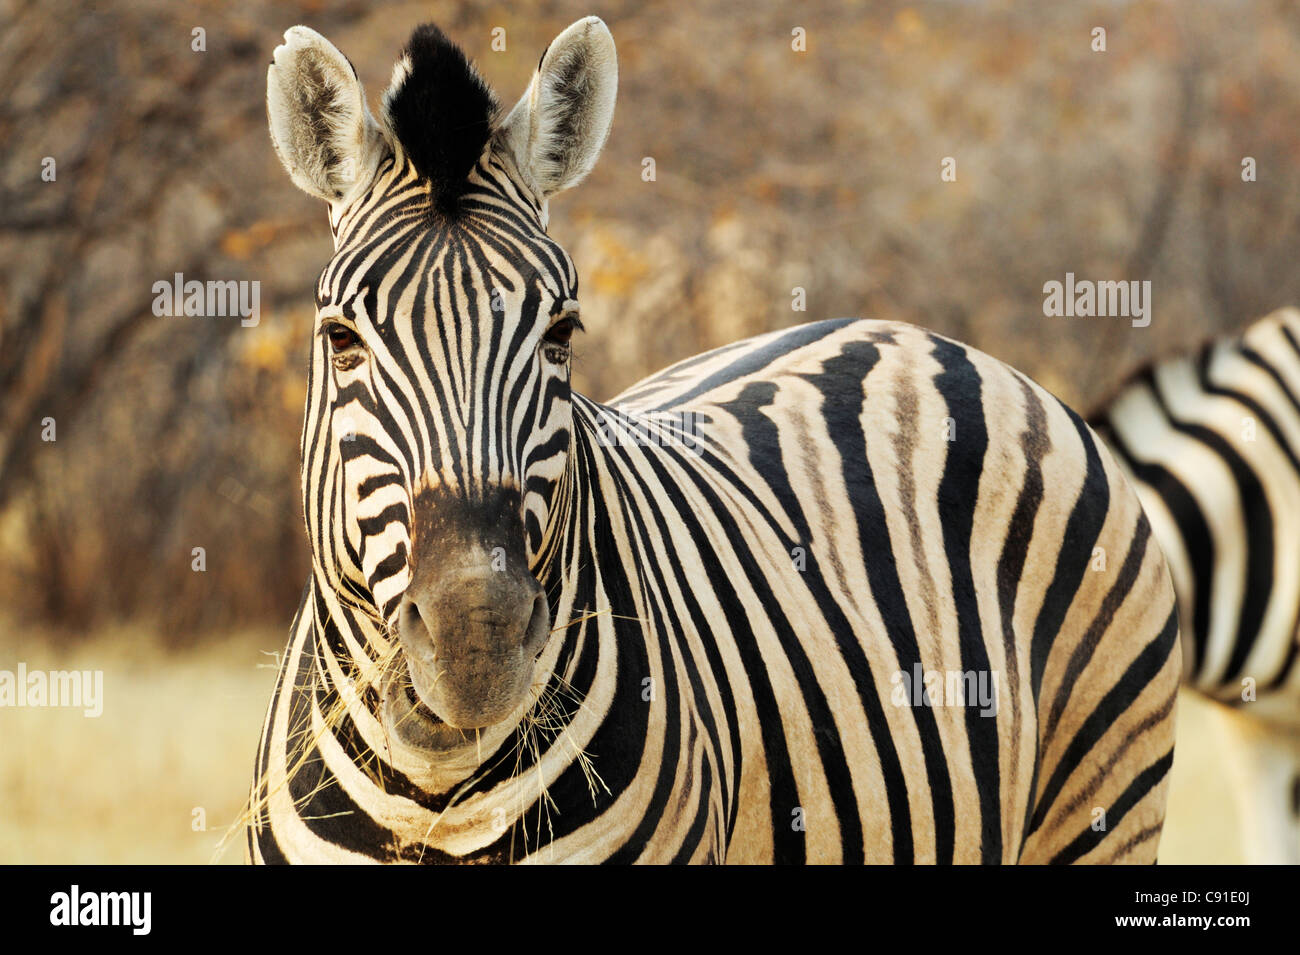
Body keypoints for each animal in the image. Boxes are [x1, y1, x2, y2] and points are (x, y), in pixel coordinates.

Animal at [247, 17, 1182, 864]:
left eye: (561, 333)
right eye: (341, 339)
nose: (478, 639)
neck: (434, 778)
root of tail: (920, 337)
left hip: (1104, 801)